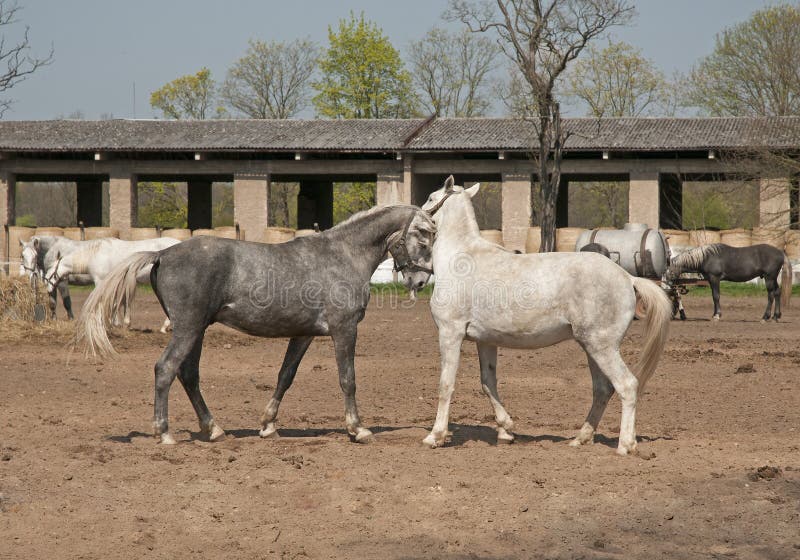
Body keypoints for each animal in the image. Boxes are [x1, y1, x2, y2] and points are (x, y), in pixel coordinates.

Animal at [44, 236, 180, 332]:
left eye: (49, 274)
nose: (48, 290)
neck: (95, 255)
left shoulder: (100, 281)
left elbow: (107, 301)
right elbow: (119, 302)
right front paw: (121, 323)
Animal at [75, 205, 435, 445]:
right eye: (424, 236)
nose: (421, 281)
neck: (343, 255)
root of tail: (163, 254)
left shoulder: (303, 334)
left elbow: (285, 377)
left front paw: (268, 425)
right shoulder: (344, 329)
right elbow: (348, 380)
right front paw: (358, 429)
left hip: (197, 330)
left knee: (188, 375)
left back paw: (214, 429)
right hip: (188, 328)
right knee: (165, 369)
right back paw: (164, 433)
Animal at [420, 177, 671, 456]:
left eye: (430, 198)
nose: (418, 218)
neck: (461, 259)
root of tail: (628, 277)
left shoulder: (450, 333)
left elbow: (446, 385)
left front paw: (435, 436)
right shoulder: (485, 341)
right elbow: (488, 382)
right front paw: (506, 430)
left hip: (602, 347)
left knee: (626, 385)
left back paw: (626, 445)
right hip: (592, 347)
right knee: (603, 390)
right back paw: (581, 438)